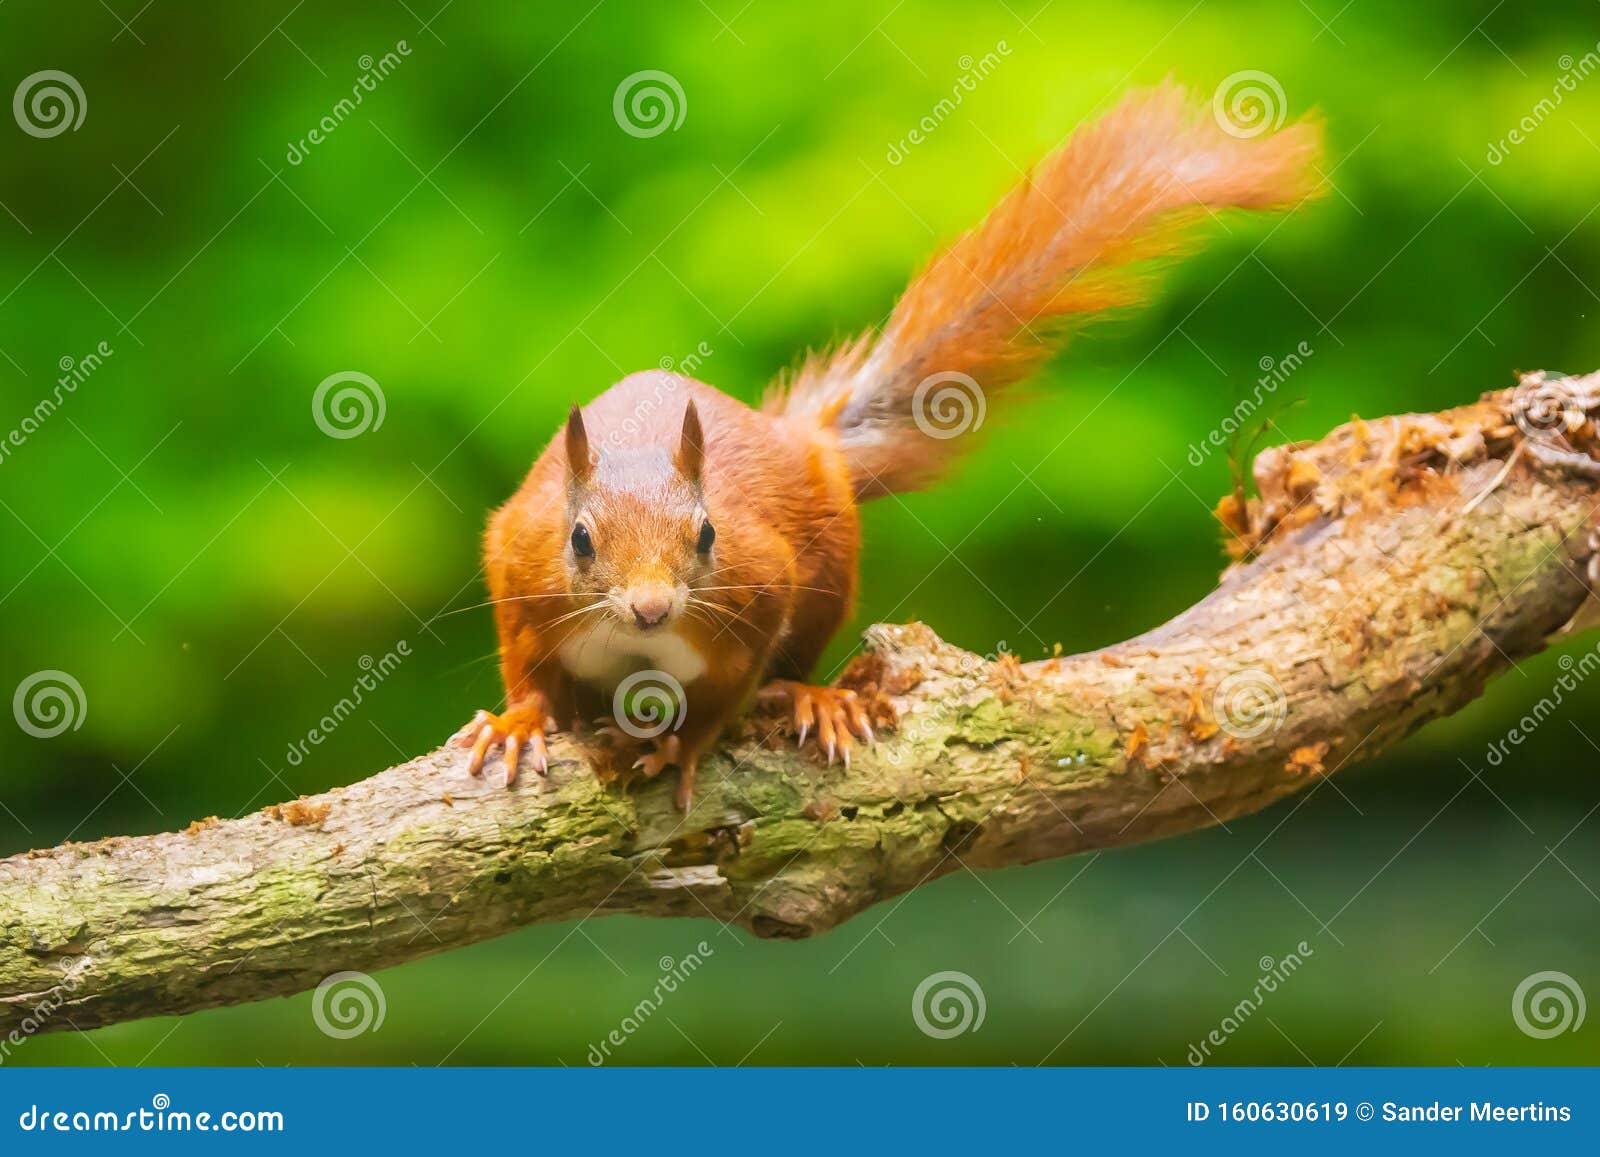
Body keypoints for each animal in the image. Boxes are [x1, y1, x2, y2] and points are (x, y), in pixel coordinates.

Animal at [451, 84, 1322, 809]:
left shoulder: (758, 590)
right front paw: (516, 723)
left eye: (706, 534)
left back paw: (813, 698)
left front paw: (686, 746)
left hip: (829, 570)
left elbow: (724, 699)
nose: (652, 606)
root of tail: (805, 439)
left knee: (795, 660)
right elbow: (527, 672)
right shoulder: (520, 570)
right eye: (579, 538)